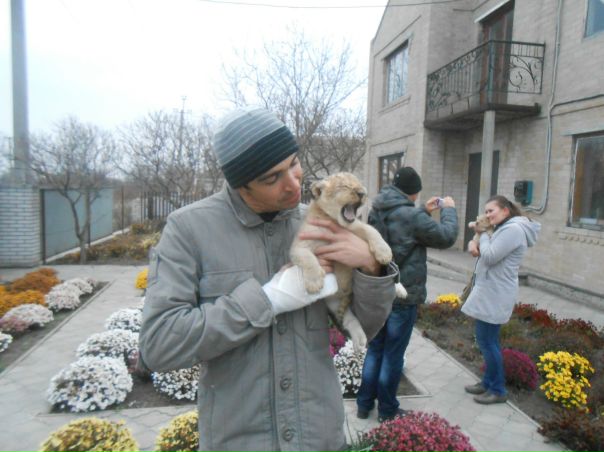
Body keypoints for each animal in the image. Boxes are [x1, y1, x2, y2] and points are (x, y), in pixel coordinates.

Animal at [290, 172, 407, 351]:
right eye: (344, 186)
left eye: (359, 184)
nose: (362, 193)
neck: (334, 220)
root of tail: (344, 293)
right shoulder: (300, 245)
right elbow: (308, 258)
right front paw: (314, 283)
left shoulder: (356, 227)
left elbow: (372, 230)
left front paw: (384, 253)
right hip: (334, 302)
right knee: (350, 319)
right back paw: (359, 341)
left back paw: (400, 290)